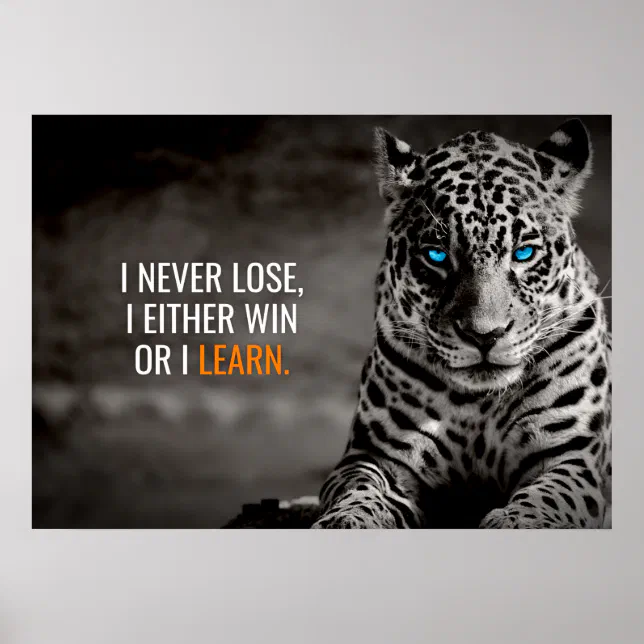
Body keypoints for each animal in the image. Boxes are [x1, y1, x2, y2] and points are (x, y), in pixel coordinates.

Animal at [311, 119, 611, 529]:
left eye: (524, 253)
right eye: (437, 255)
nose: (484, 336)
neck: (478, 403)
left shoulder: (573, 454)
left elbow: (548, 498)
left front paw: (514, 522)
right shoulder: (376, 455)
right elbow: (359, 490)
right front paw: (346, 521)